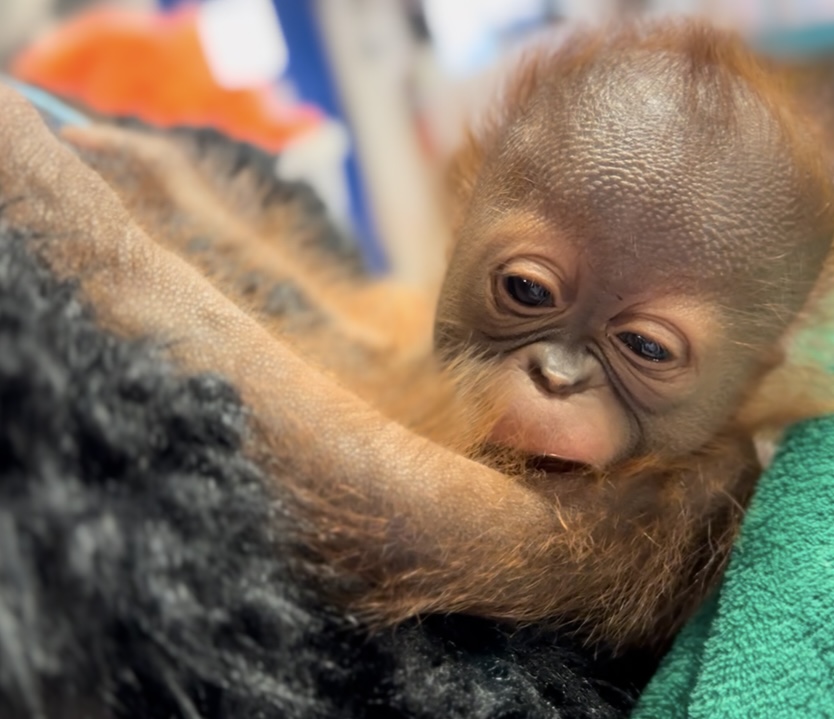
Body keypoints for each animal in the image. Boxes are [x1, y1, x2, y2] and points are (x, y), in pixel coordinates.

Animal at [2, 19, 834, 653]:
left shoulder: (686, 497)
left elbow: (405, 506)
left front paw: (59, 190)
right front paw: (156, 174)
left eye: (647, 350)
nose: (559, 376)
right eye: (527, 291)